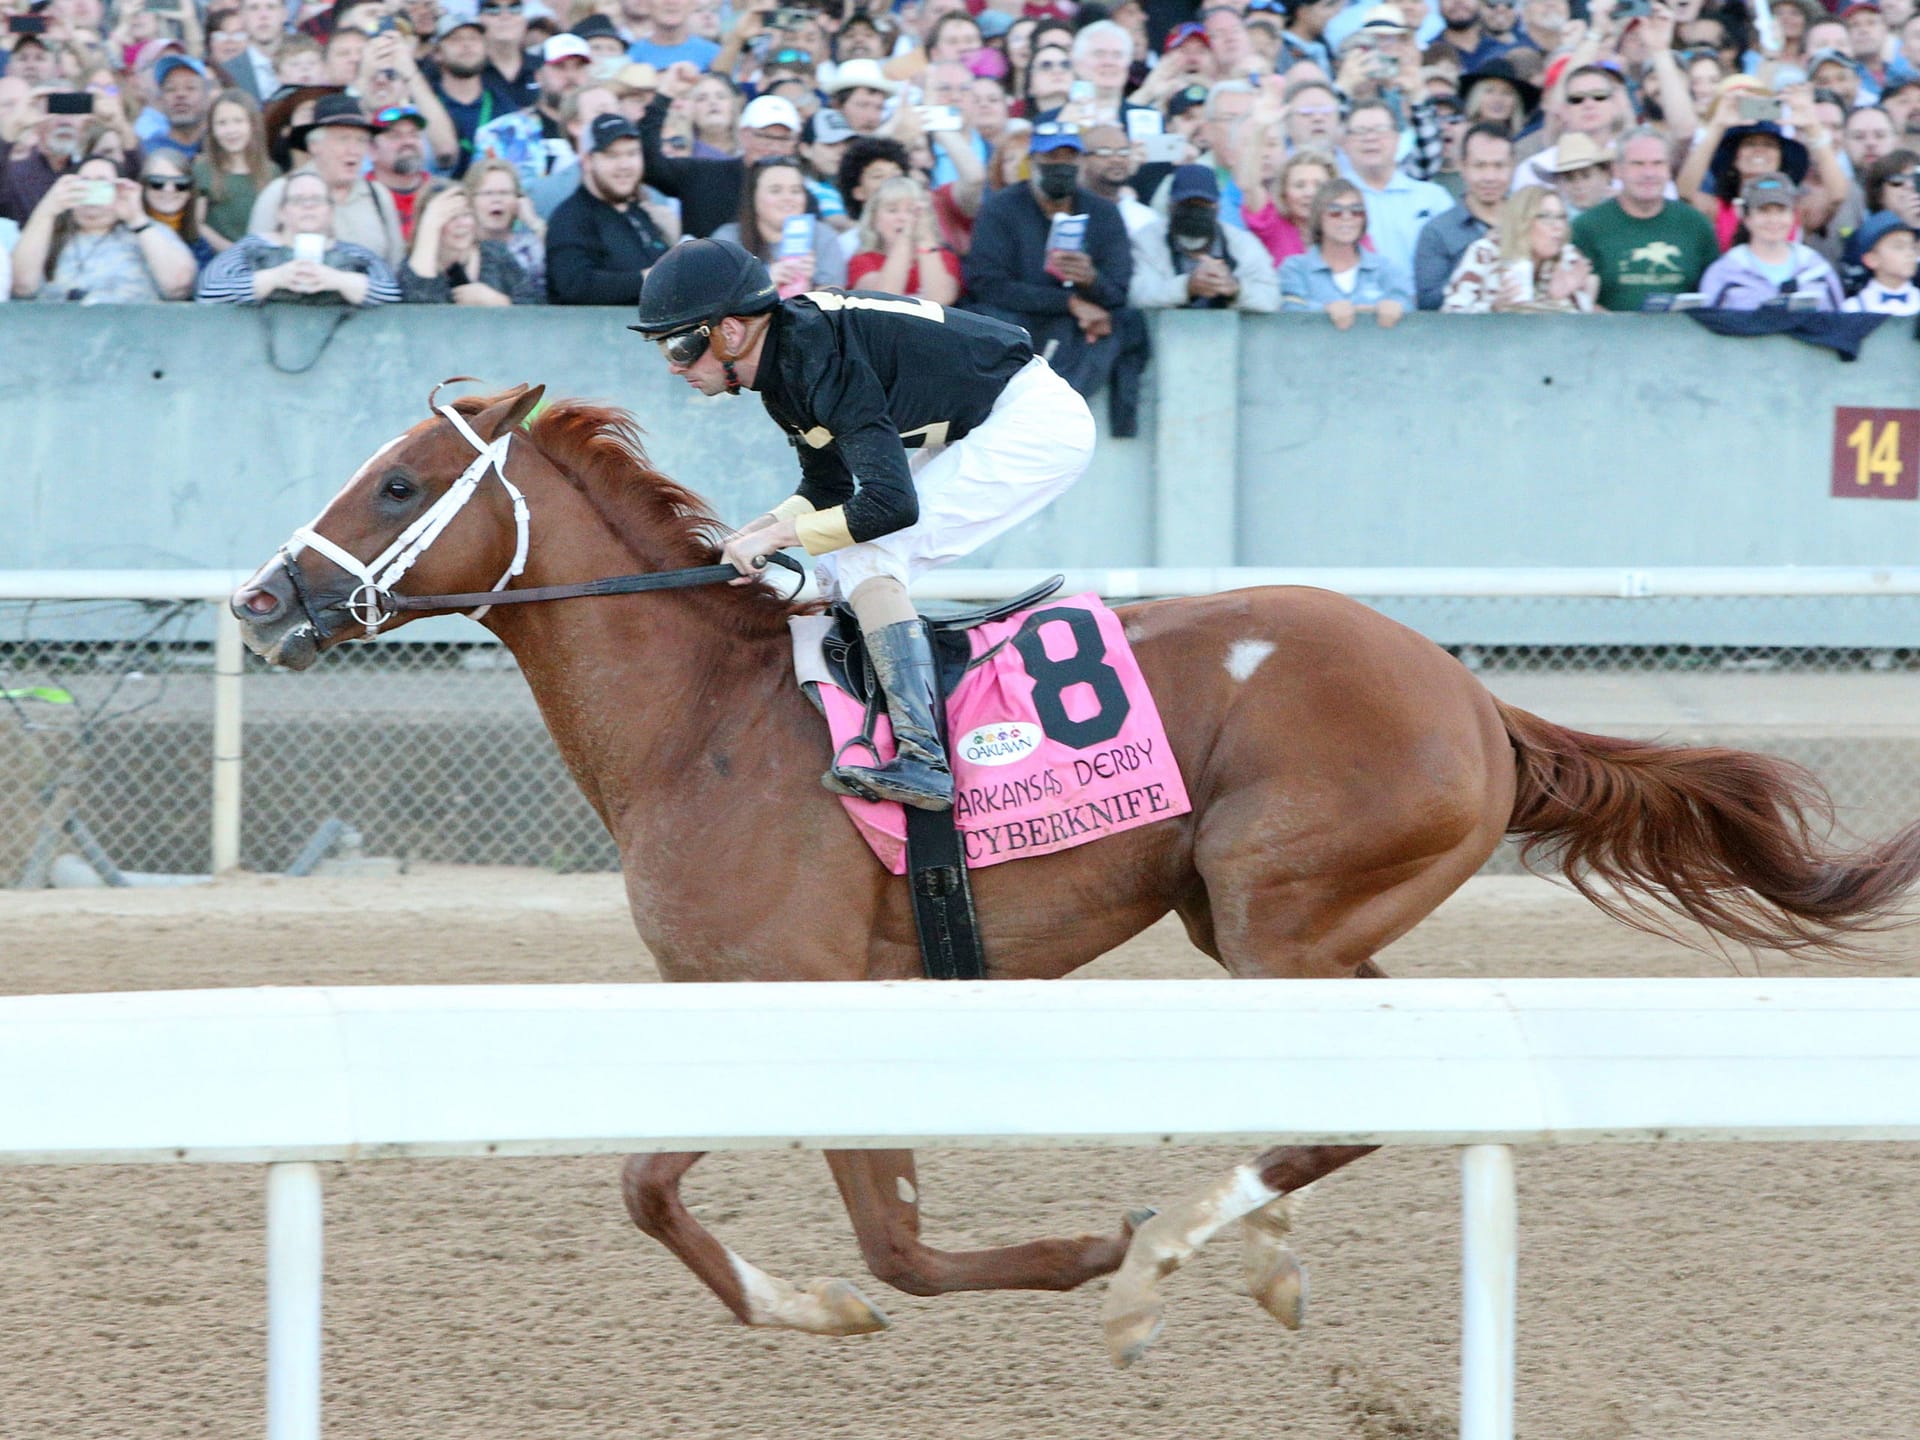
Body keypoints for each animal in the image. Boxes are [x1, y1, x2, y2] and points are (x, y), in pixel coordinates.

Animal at [230, 385, 1920, 1366]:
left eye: (397, 486)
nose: (261, 597)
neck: (708, 722)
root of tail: (1471, 693)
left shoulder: (807, 993)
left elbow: (884, 1245)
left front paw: (1065, 1254)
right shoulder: (765, 999)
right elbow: (678, 1196)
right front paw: (818, 1302)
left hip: (1275, 910)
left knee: (1345, 1099)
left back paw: (1167, 1256)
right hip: (1272, 926)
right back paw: (1254, 1245)